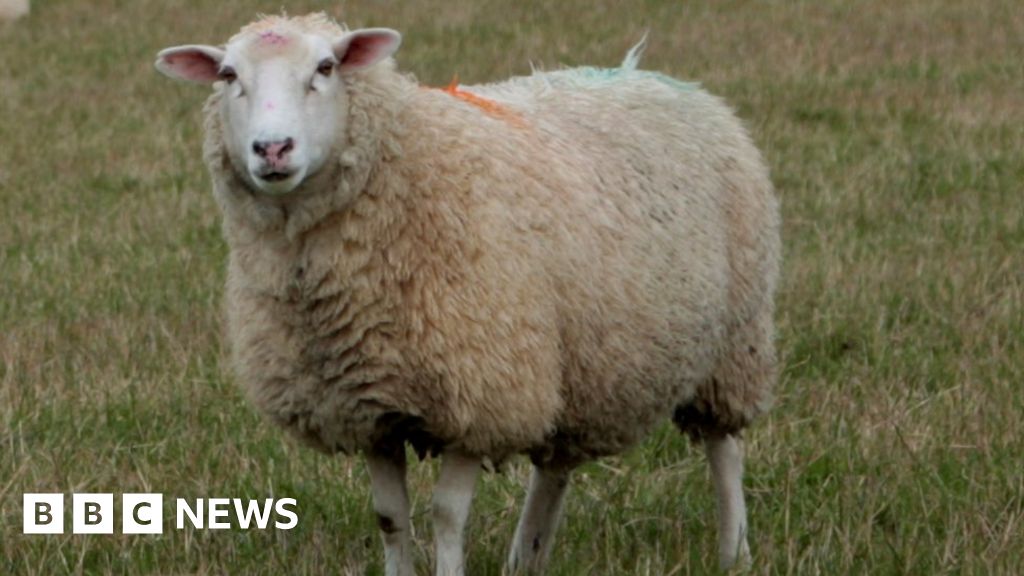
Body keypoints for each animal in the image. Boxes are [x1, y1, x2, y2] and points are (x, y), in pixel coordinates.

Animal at [156, 12, 779, 576]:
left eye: (326, 68)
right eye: (229, 75)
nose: (273, 149)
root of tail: (647, 74)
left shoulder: (477, 393)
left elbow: (446, 516)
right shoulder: (369, 405)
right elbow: (390, 517)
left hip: (735, 341)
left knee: (725, 450)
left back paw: (736, 552)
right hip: (570, 364)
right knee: (555, 463)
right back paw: (526, 559)